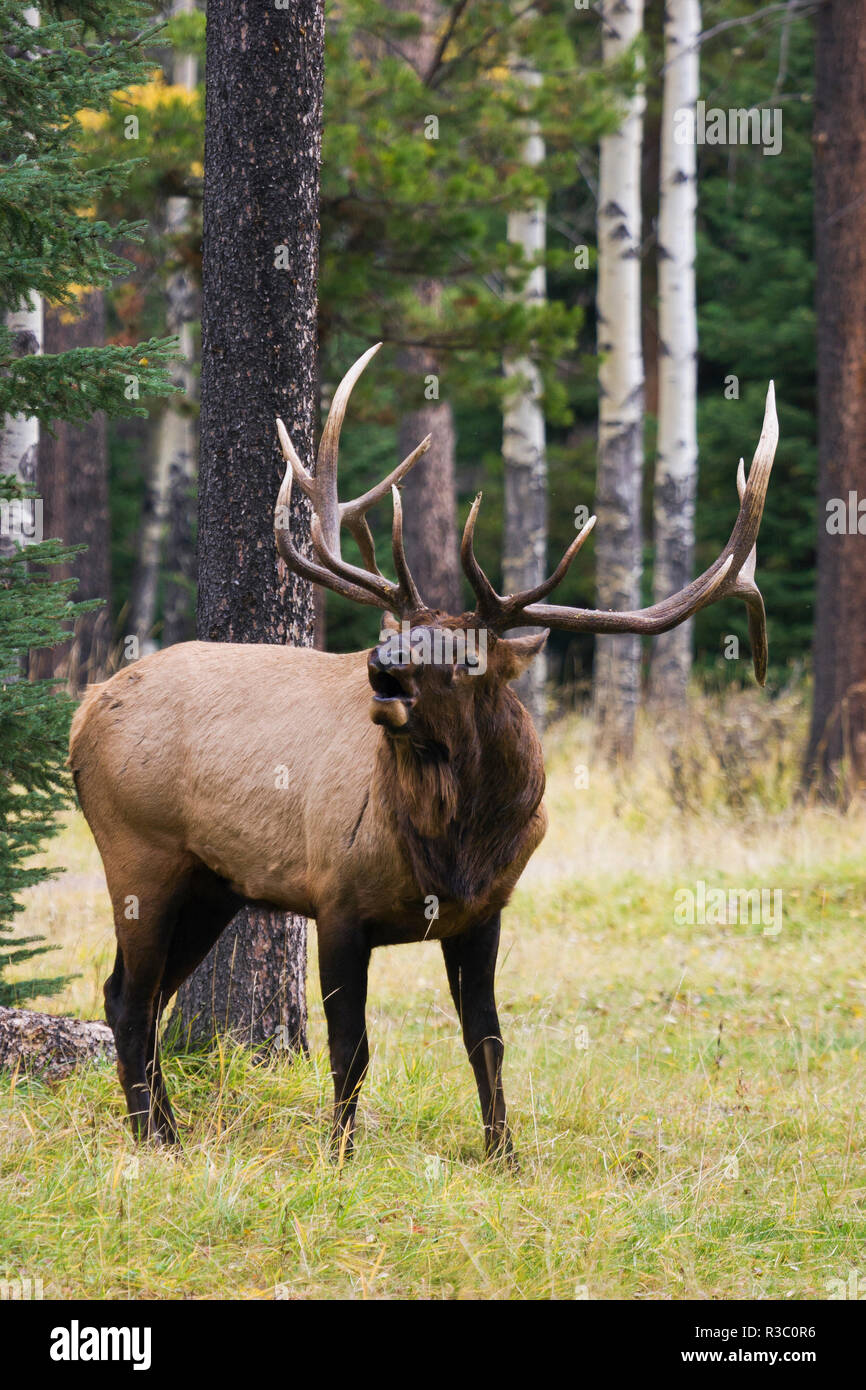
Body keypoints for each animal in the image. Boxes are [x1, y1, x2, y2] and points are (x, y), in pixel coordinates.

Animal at [69, 343, 778, 1160]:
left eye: (468, 656)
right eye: (404, 630)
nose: (383, 665)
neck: (453, 848)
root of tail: (82, 715)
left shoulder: (485, 909)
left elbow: (487, 1039)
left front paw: (504, 1154)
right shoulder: (335, 897)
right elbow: (351, 1047)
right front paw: (340, 1155)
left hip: (212, 882)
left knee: (138, 993)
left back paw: (163, 1131)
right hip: (139, 848)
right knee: (128, 996)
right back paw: (156, 1138)